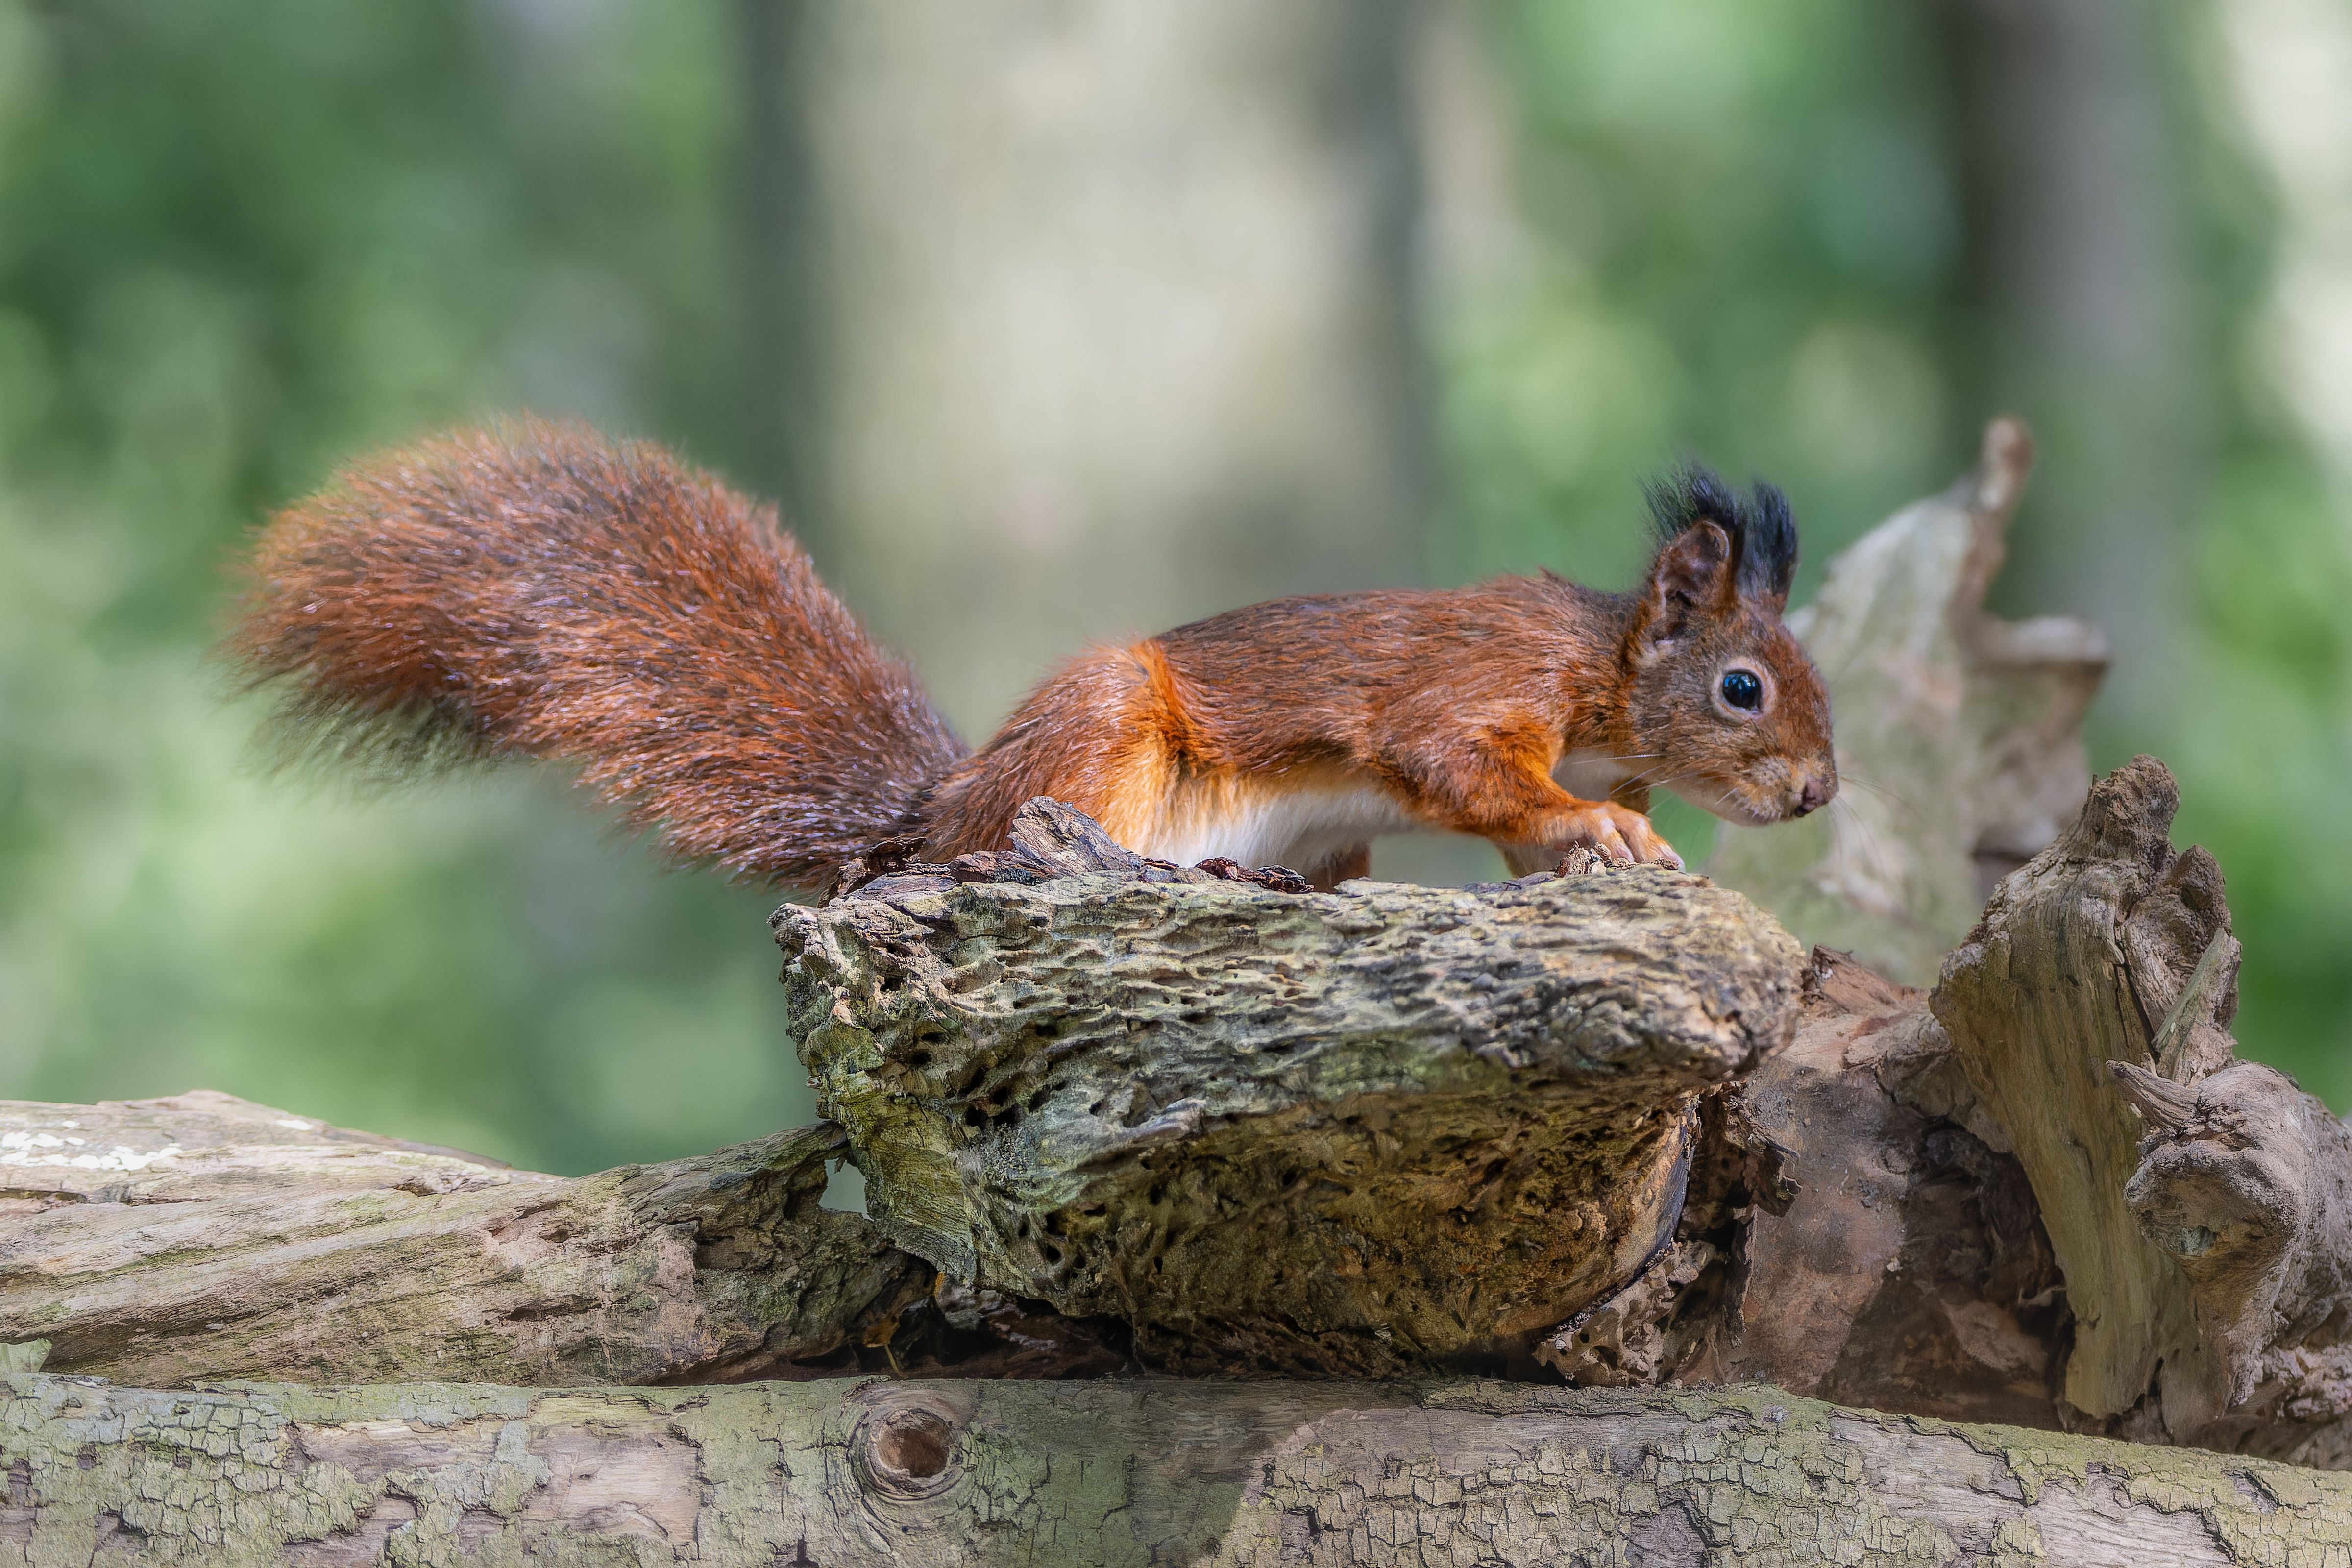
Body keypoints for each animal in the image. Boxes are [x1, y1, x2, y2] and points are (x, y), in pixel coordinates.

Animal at [226, 419, 1836, 891]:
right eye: (1742, 685)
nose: (1819, 793)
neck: (1601, 681)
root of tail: (935, 812)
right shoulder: (1469, 690)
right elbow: (1463, 766)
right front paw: (1597, 827)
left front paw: (1624, 838)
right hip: (1101, 734)